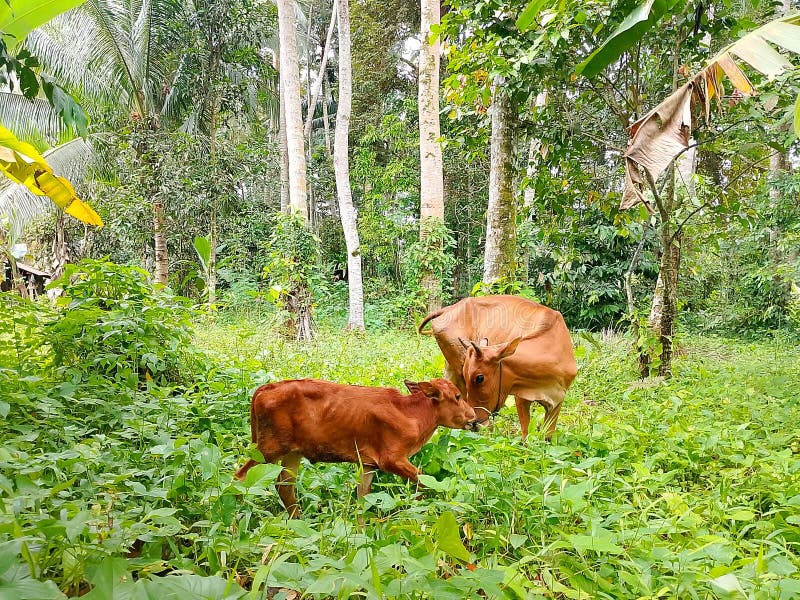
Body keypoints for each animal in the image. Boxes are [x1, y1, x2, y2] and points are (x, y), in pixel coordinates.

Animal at [234, 378, 477, 517]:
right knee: (240, 477)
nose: (474, 418)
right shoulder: (391, 459)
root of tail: (265, 388)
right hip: (268, 449)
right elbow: (426, 482)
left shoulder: (369, 464)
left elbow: (363, 498)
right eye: (457, 396)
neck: (412, 414)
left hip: (292, 452)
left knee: (283, 485)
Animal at [418, 295, 577, 441]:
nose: (474, 423)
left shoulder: (557, 401)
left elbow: (547, 437)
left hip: (451, 369)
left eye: (480, 378)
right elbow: (525, 434)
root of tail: (449, 308)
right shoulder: (521, 397)